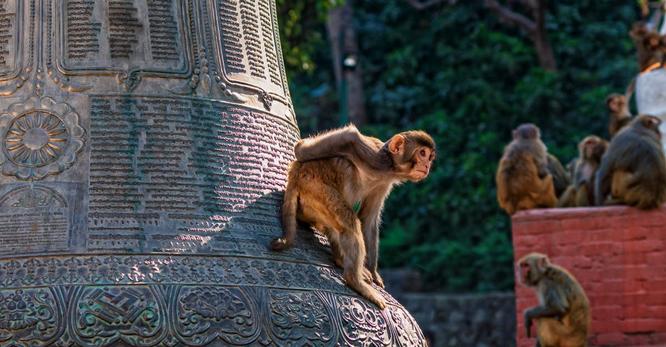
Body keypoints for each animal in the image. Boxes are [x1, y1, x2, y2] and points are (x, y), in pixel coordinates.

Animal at [268, 125, 434, 310]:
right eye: (422, 153)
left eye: (430, 156)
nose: (427, 164)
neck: (391, 166)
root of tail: (296, 177)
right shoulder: (376, 159)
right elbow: (345, 138)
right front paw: (301, 147)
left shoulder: (384, 182)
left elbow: (368, 219)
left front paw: (373, 271)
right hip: (315, 188)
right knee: (348, 187)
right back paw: (354, 280)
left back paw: (342, 260)